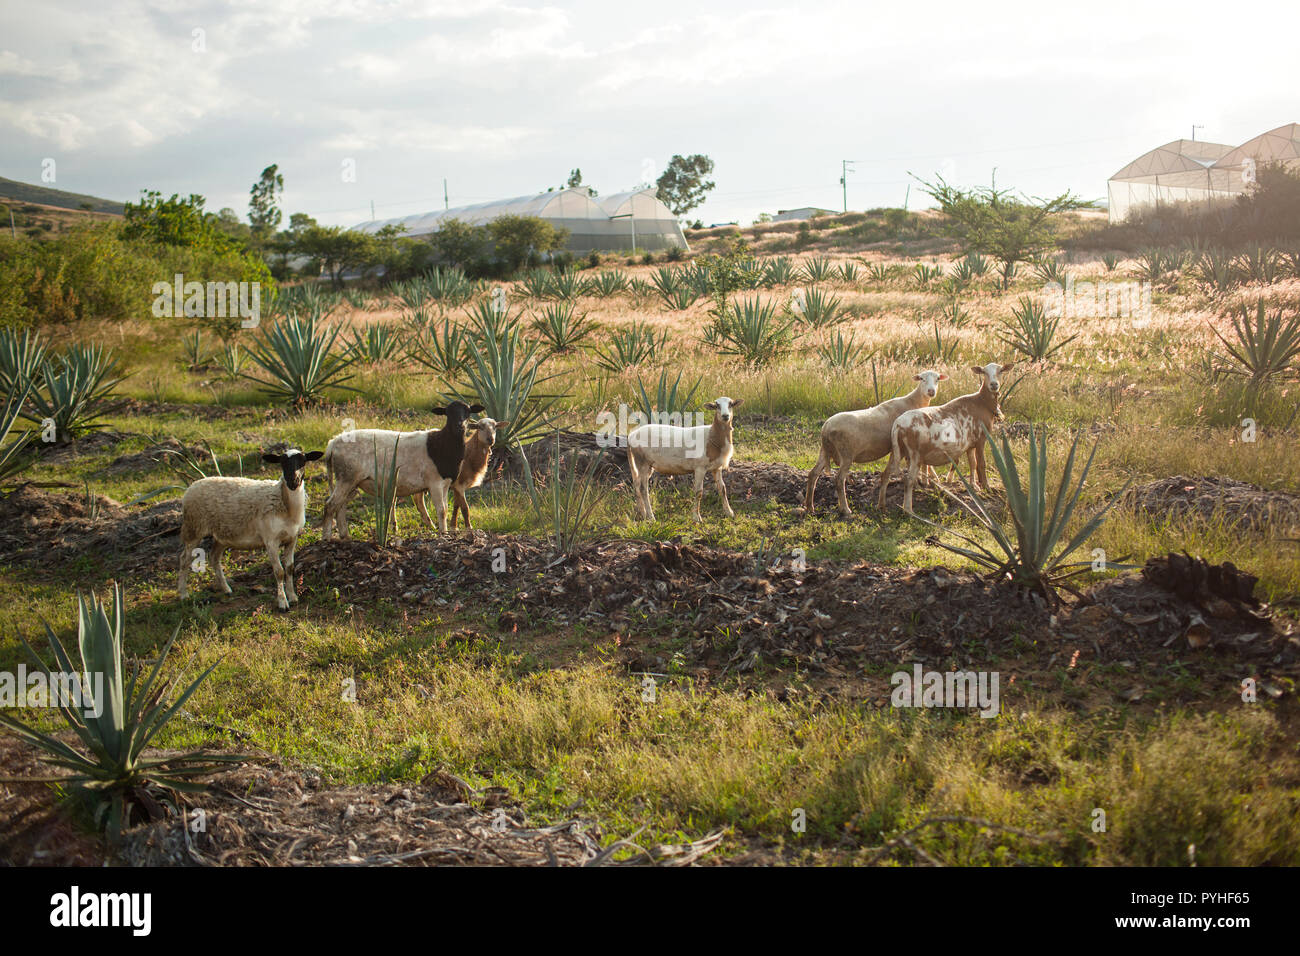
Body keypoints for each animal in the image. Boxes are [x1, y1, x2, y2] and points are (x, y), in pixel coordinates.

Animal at [177, 448, 324, 611]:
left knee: (214, 557)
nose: (294, 481)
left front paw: (292, 597)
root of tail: (192, 486)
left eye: (303, 461)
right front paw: (282, 603)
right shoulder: (271, 540)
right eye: (282, 463)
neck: (286, 506)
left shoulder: (292, 538)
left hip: (222, 534)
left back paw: (226, 589)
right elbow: (279, 572)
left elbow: (290, 568)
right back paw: (183, 594)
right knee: (184, 559)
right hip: (193, 527)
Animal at [320, 400, 484, 538]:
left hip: (350, 481)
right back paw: (326, 538)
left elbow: (445, 508)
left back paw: (344, 536)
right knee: (330, 506)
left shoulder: (445, 483)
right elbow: (442, 510)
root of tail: (333, 443)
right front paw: (443, 534)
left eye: (468, 411)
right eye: (448, 413)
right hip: (346, 477)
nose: (460, 426)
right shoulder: (435, 482)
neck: (443, 443)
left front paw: (444, 532)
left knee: (340, 506)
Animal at [802, 369, 947, 516]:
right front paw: (926, 482)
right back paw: (846, 509)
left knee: (813, 474)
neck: (913, 401)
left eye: (937, 379)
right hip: (846, 453)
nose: (931, 391)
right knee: (839, 480)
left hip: (825, 451)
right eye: (922, 379)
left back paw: (809, 506)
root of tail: (825, 427)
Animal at [876, 362, 1012, 514]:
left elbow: (972, 463)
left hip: (897, 449)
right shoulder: (981, 439)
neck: (982, 403)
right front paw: (986, 488)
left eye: (1001, 371)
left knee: (885, 475)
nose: (994, 385)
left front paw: (973, 486)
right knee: (908, 480)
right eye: (984, 372)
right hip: (915, 453)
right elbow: (981, 464)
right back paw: (908, 511)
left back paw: (881, 505)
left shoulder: (970, 444)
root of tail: (898, 425)